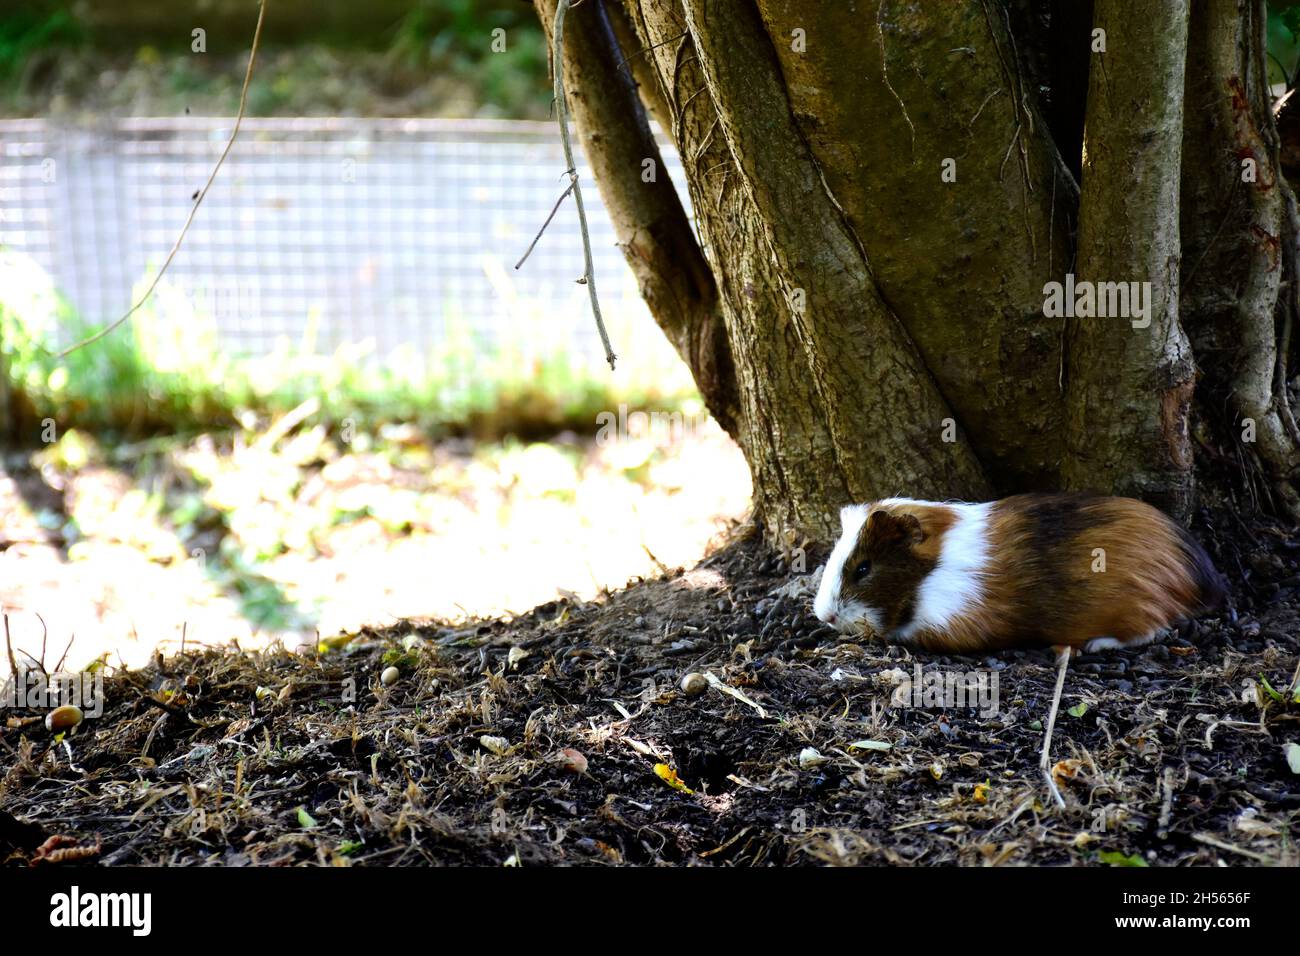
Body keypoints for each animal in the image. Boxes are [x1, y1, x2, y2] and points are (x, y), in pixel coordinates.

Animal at [812, 493, 1226, 653]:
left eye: (863, 568)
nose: (824, 616)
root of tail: (1199, 573)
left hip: (1136, 608)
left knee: (1149, 631)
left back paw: (1094, 645)